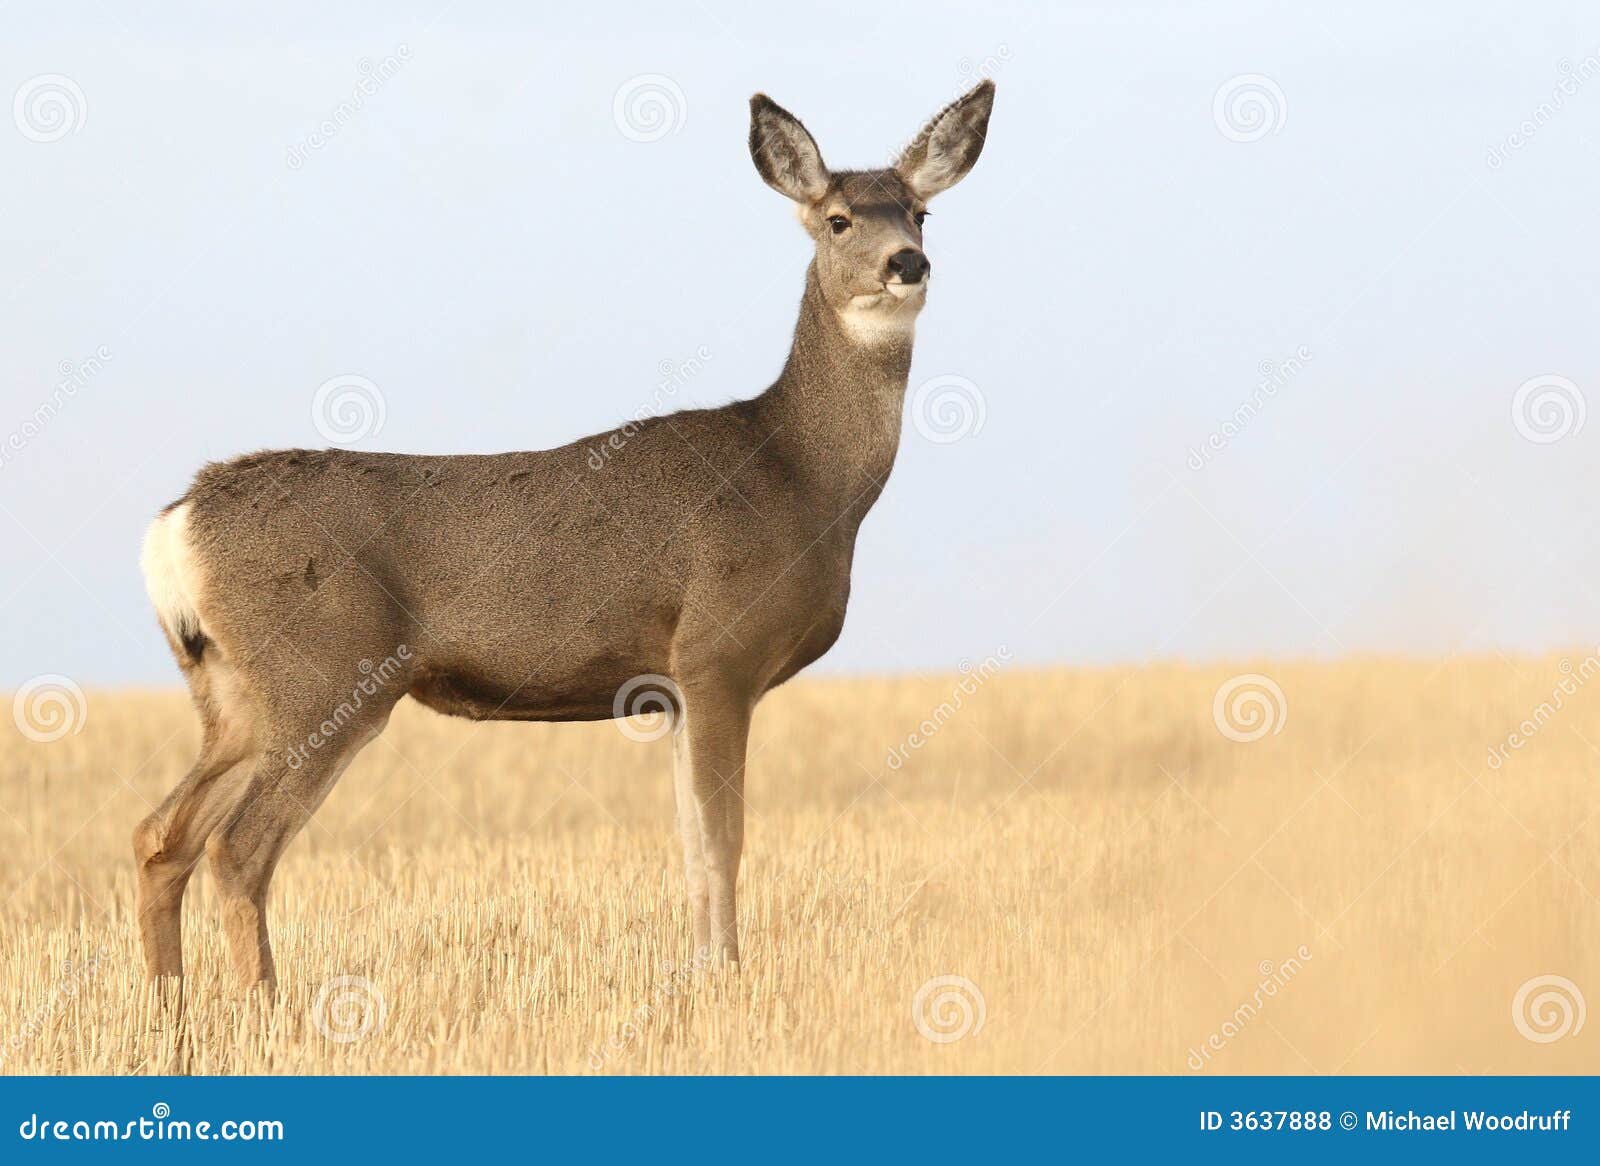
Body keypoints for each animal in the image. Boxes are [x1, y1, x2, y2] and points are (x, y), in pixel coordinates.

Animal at [135, 81, 994, 988]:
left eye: (920, 213)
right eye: (837, 218)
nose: (907, 262)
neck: (805, 479)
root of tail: (177, 521)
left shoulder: (672, 685)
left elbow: (692, 850)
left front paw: (699, 976)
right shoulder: (716, 652)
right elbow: (723, 844)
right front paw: (726, 978)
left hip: (232, 690)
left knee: (162, 835)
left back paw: (168, 1010)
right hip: (325, 673)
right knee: (236, 848)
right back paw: (265, 1007)